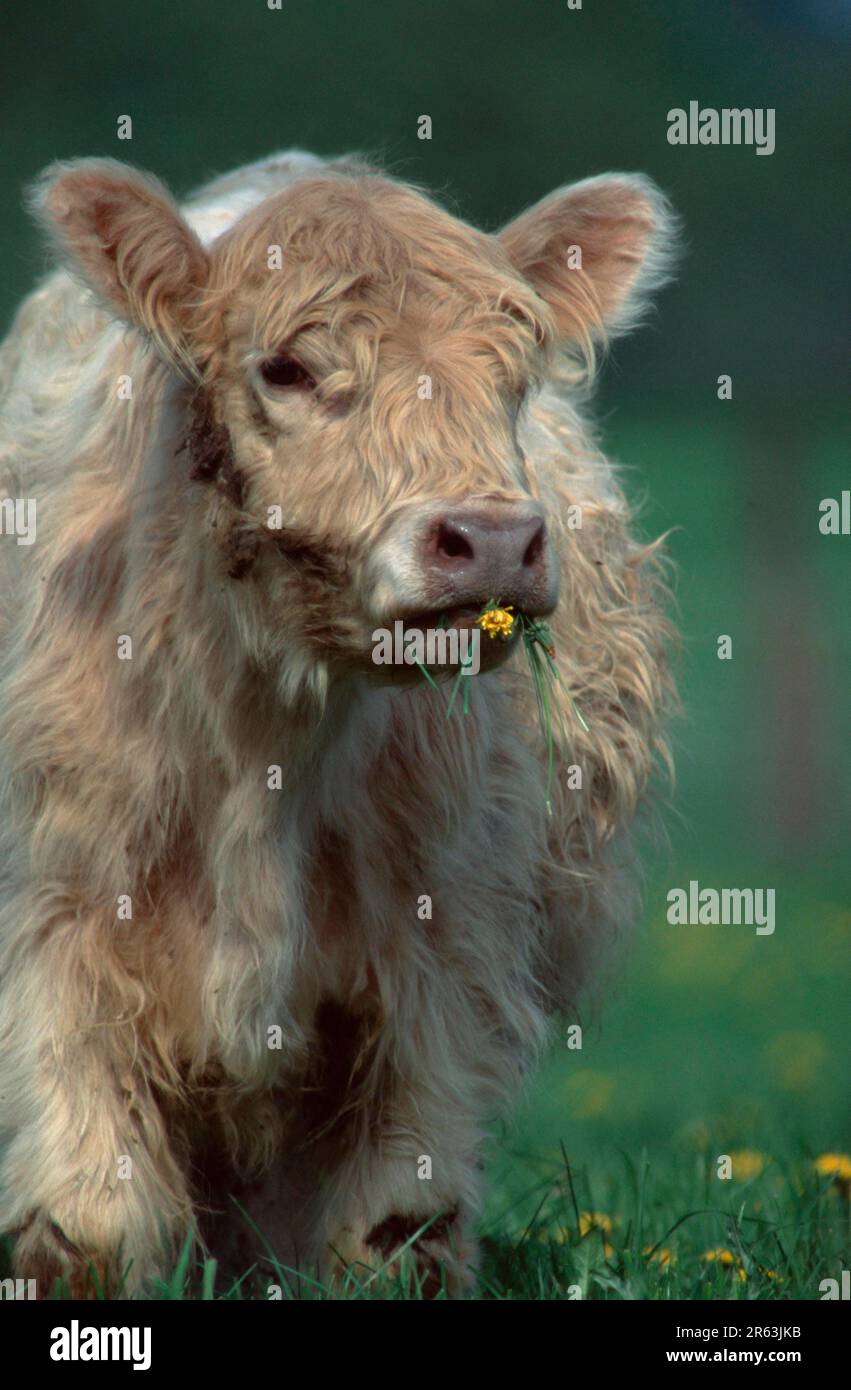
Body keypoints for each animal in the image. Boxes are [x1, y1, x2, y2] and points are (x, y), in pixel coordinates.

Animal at [0, 150, 676, 1296]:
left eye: (516, 371)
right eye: (285, 369)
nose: (492, 541)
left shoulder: (444, 961)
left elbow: (394, 1229)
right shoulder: (54, 921)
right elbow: (87, 1225)